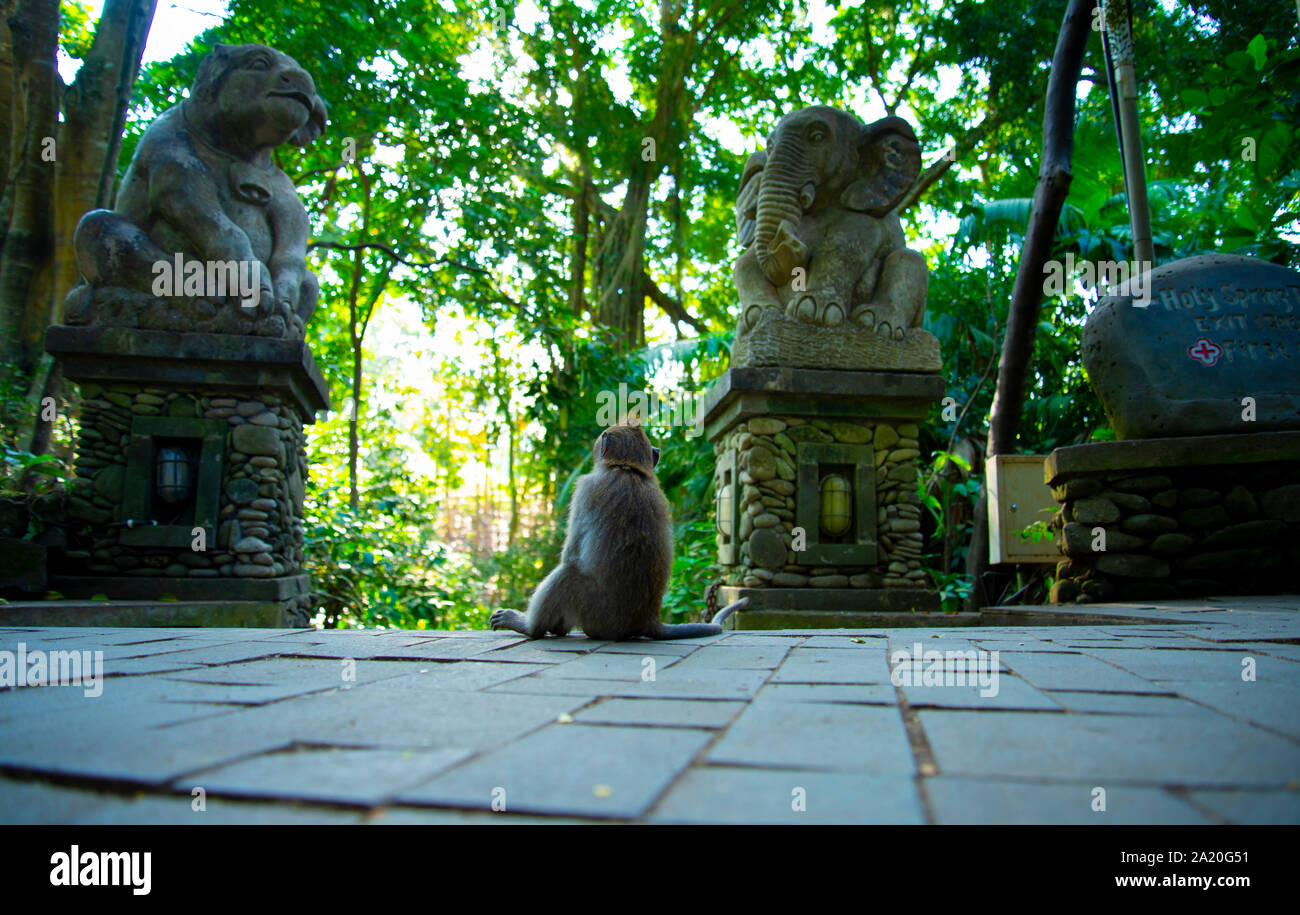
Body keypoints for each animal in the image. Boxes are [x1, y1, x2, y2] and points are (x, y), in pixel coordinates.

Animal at [490, 423, 748, 640]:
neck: (628, 469)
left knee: (568, 574)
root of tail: (647, 619)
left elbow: (570, 554)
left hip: (597, 615)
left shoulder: (585, 489)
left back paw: (530, 627)